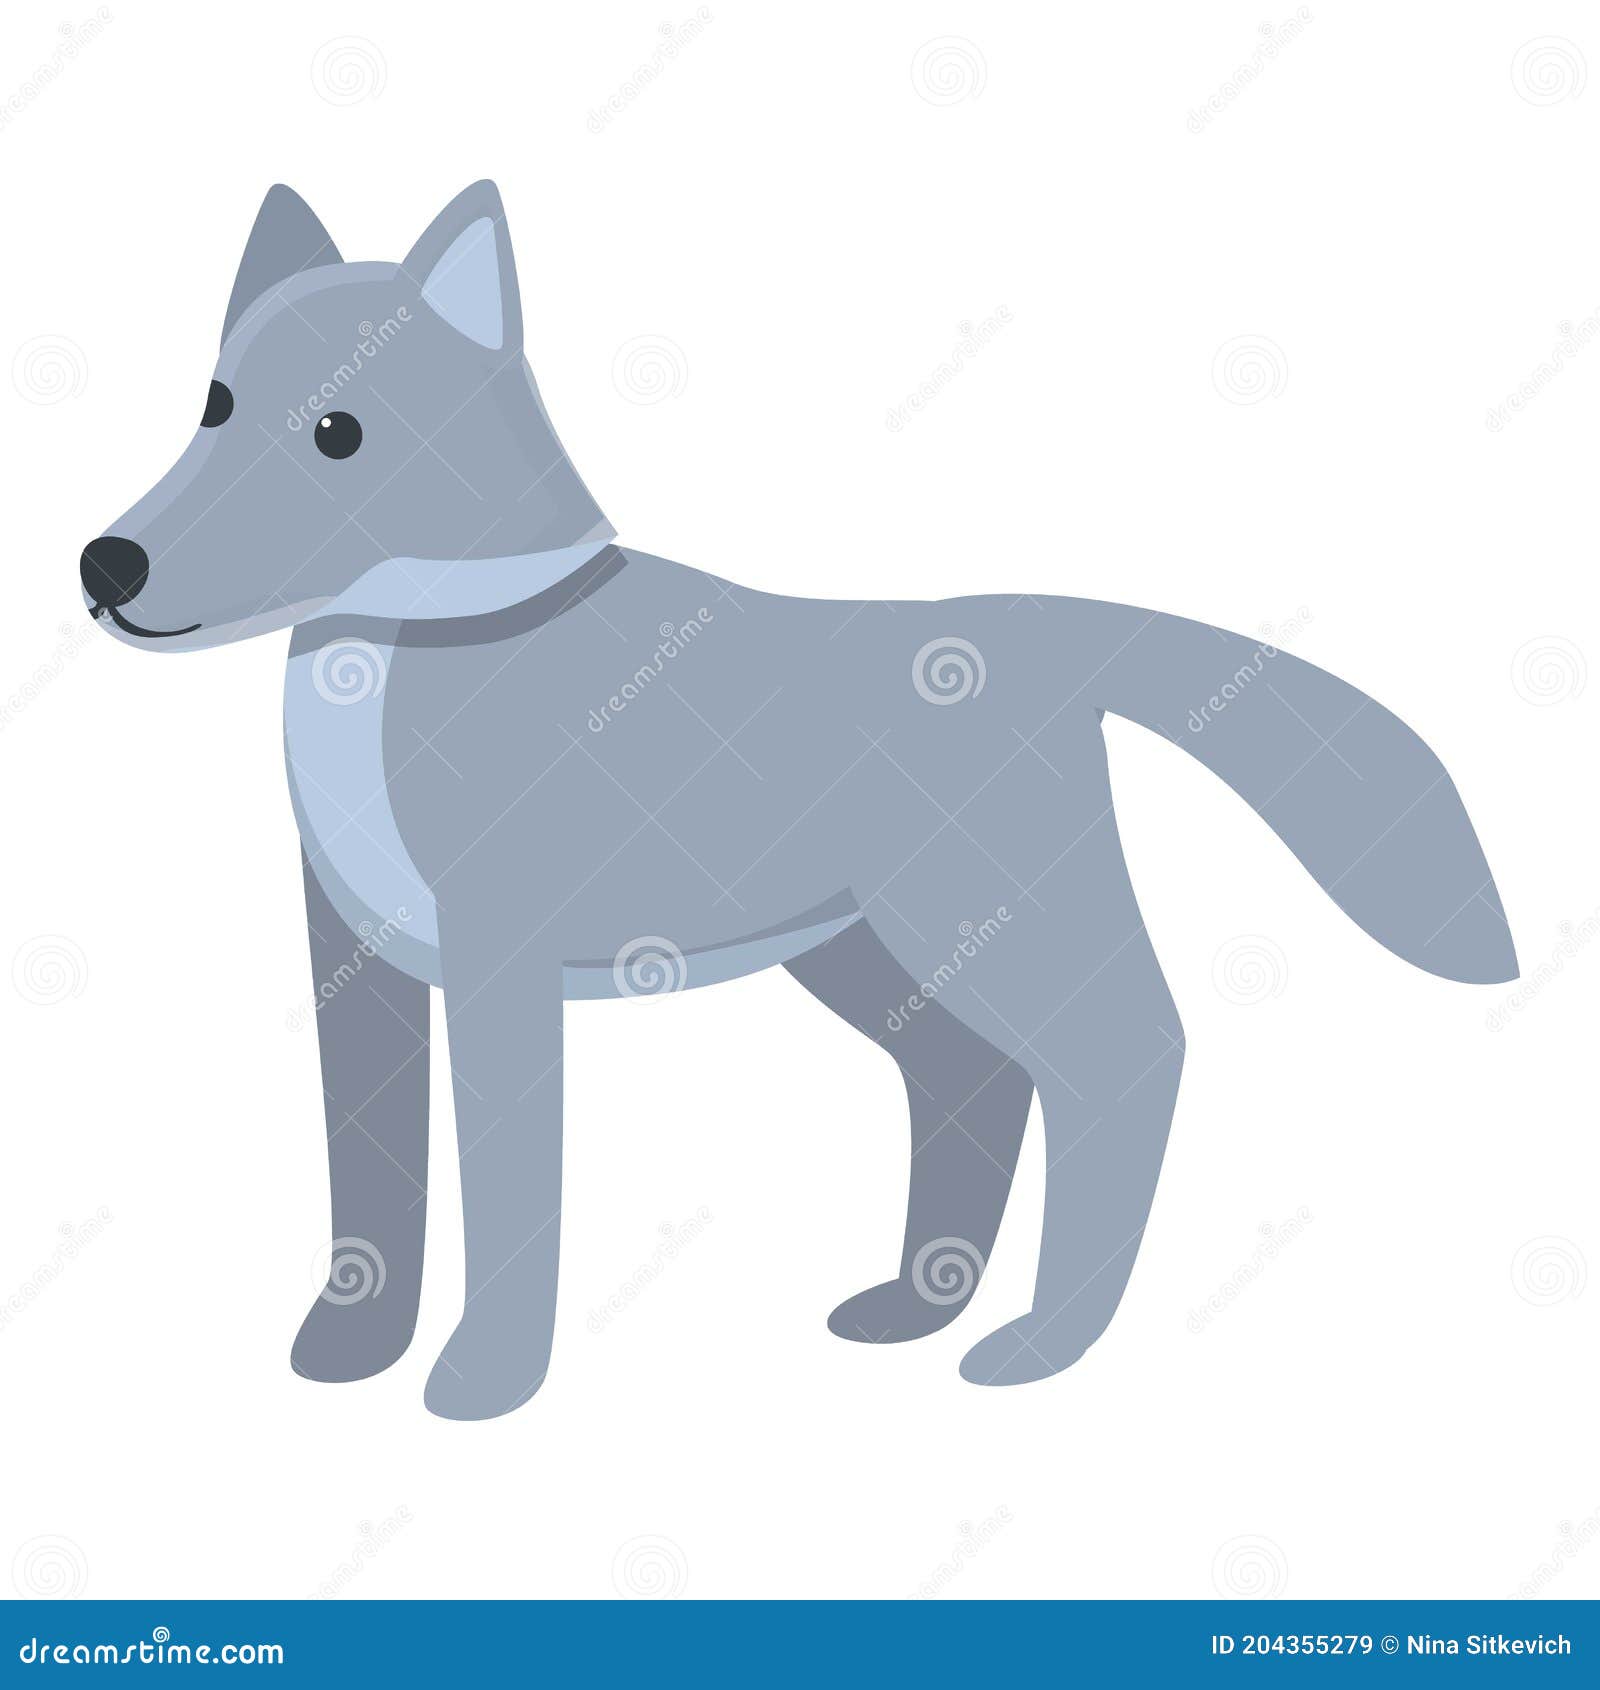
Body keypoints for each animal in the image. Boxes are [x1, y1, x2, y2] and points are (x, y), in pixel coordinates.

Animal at [82, 182, 1517, 1419]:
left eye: (340, 432)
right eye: (212, 404)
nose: (107, 564)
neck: (393, 650)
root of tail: (1031, 625)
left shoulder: (499, 967)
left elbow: (506, 1198)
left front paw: (483, 1381)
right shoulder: (358, 964)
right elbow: (370, 1190)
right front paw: (349, 1349)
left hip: (982, 927)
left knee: (1131, 1058)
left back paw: (1043, 1344)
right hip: (874, 954)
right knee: (973, 1086)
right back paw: (920, 1306)